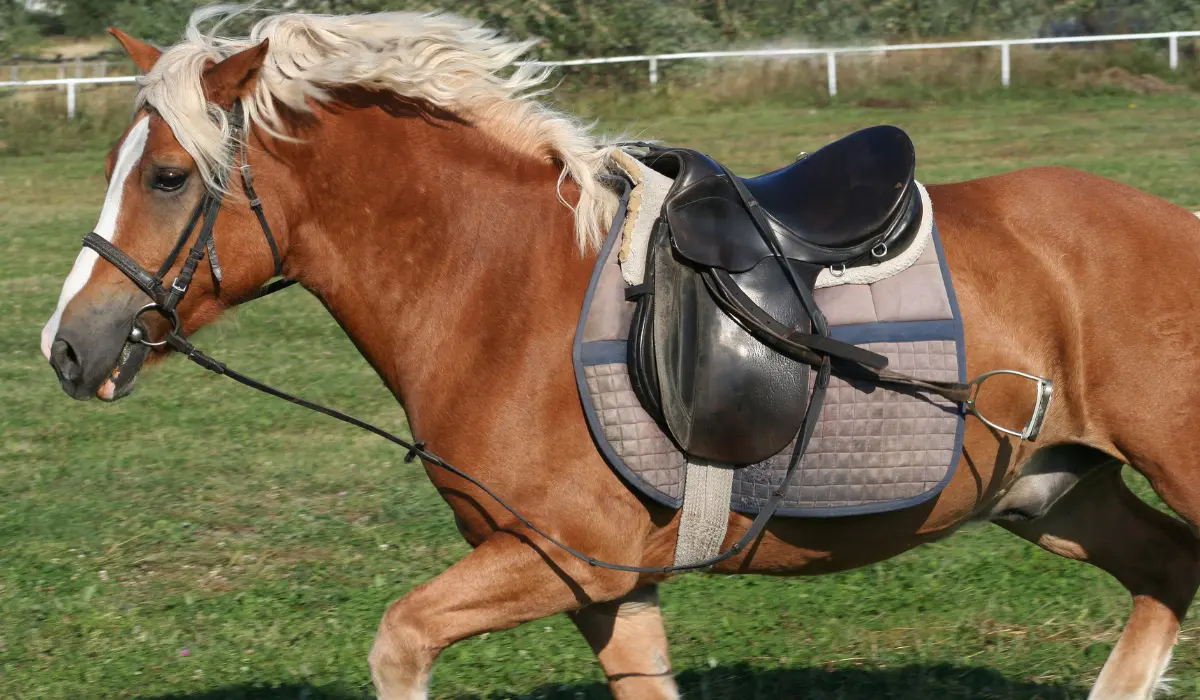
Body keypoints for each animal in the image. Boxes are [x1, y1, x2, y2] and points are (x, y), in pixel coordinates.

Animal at [39, 8, 1200, 700]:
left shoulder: (561, 556)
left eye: (169, 179)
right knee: (1166, 573)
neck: (499, 288)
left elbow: (399, 638)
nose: (65, 346)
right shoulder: (611, 591)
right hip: (1052, 491)